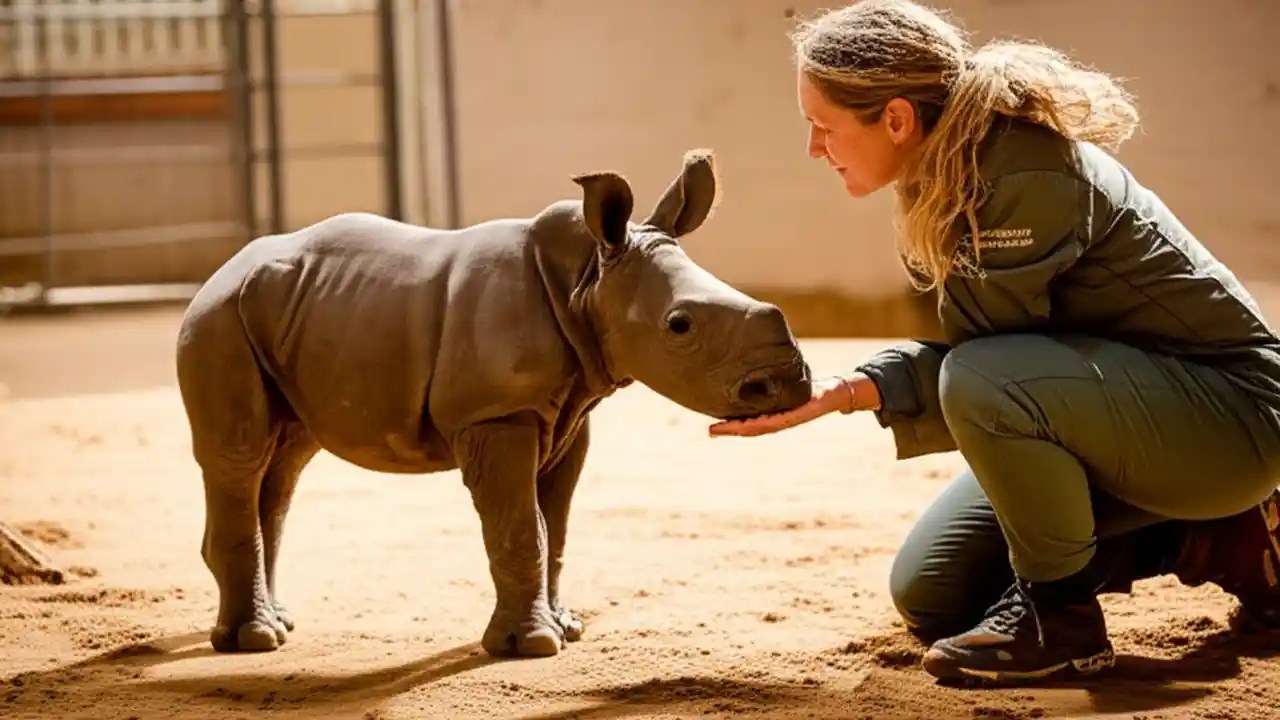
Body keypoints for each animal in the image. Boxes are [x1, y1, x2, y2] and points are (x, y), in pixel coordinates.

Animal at [175, 149, 812, 658]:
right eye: (680, 326)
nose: (789, 384)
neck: (587, 278)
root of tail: (221, 271)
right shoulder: (498, 414)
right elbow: (520, 527)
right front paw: (532, 647)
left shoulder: (568, 416)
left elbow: (555, 527)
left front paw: (567, 627)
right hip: (219, 320)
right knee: (241, 457)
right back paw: (254, 641)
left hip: (285, 314)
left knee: (283, 466)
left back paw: (277, 623)